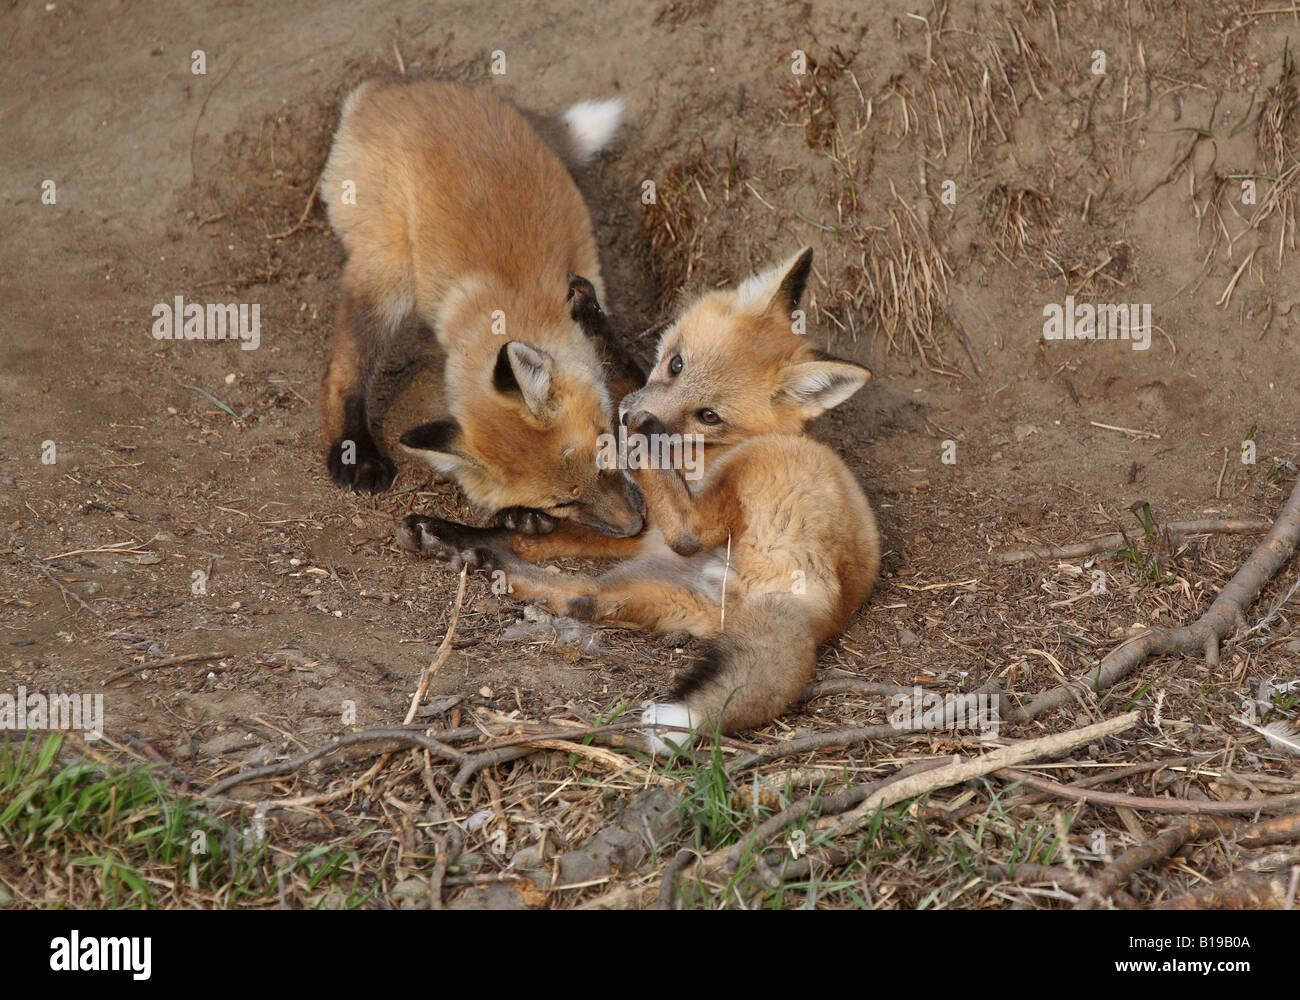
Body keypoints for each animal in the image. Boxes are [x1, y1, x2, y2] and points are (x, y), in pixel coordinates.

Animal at [319, 77, 644, 537]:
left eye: (603, 458)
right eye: (562, 502)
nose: (635, 526)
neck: (506, 308)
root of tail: (391, 88)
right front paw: (519, 515)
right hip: (389, 274)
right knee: (341, 370)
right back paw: (355, 452)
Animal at [397, 248, 881, 752]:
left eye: (709, 416)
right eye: (676, 364)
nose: (633, 417)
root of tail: (818, 613)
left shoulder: (642, 511)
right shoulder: (638, 522)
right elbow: (624, 374)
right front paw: (589, 311)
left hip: (757, 468)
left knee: (689, 530)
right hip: (649, 582)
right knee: (581, 596)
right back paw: (475, 552)